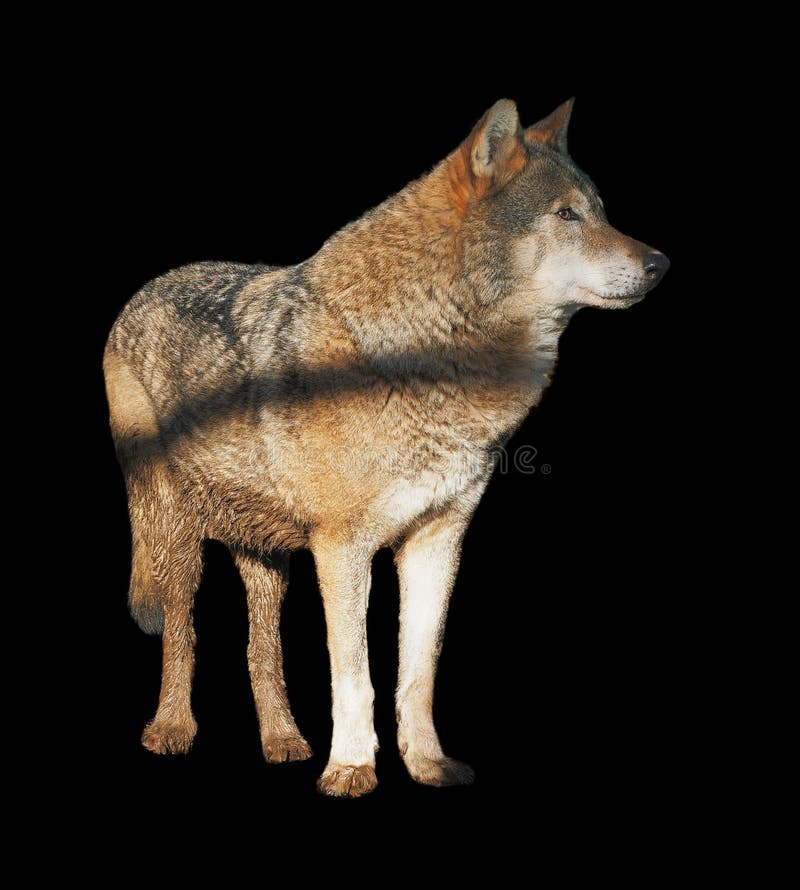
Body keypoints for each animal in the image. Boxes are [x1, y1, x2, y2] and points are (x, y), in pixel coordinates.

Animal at [104, 98, 669, 797]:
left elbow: (417, 675)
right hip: (180, 539)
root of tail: (142, 292)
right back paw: (172, 730)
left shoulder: (437, 541)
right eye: (567, 215)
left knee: (260, 648)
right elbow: (354, 676)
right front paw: (350, 767)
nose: (660, 263)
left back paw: (283, 741)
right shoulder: (342, 548)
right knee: (179, 633)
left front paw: (428, 764)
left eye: (602, 212)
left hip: (266, 556)